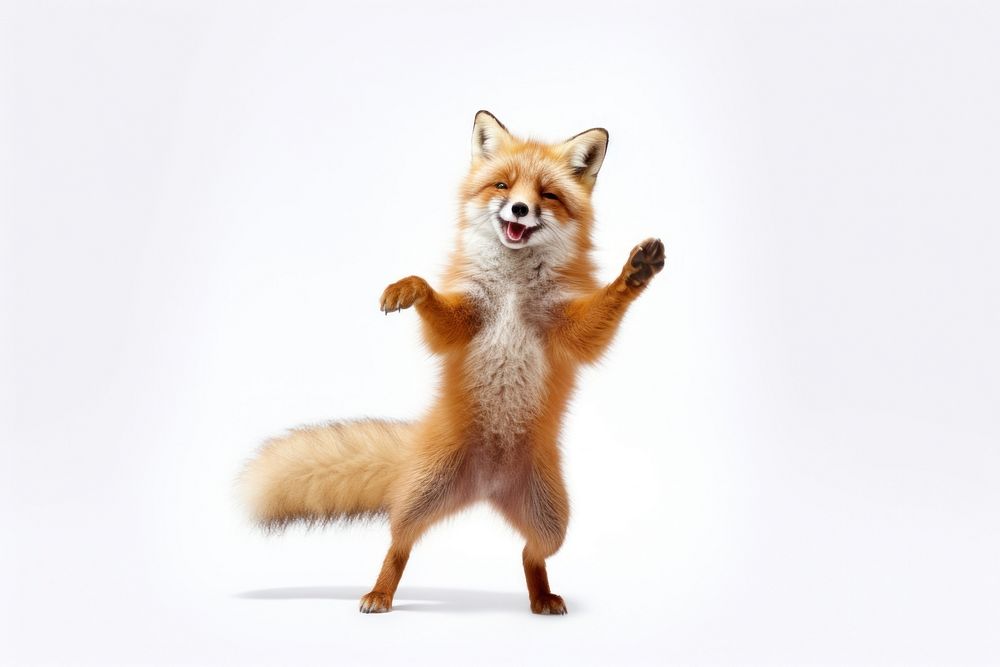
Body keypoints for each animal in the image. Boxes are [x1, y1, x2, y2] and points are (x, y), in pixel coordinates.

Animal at [241, 110, 665, 614]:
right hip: (421, 497)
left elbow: (599, 320)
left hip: (553, 520)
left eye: (547, 195)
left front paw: (634, 275)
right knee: (399, 544)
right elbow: (433, 306)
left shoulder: (566, 327)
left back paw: (541, 597)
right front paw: (408, 288)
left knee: (530, 555)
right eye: (502, 185)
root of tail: (486, 488)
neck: (512, 289)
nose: (519, 210)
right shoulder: (465, 321)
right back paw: (380, 594)